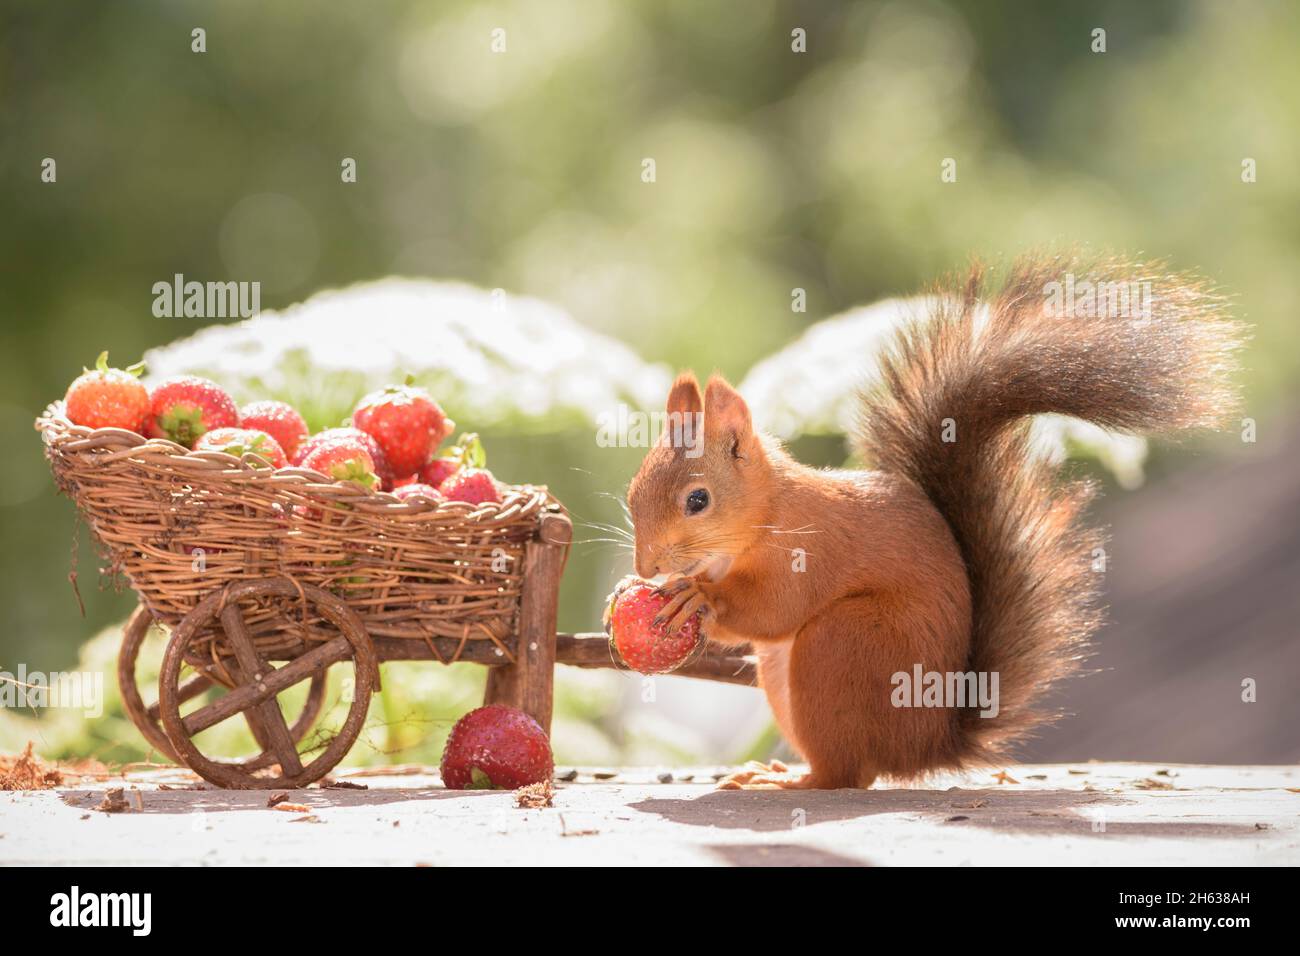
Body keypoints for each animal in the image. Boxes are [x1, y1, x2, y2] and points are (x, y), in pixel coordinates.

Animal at [625, 253, 1245, 789]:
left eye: (697, 500)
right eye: (632, 492)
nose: (646, 566)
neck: (766, 513)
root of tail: (926, 747)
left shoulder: (811, 549)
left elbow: (774, 608)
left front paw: (701, 598)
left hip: (844, 645)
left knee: (847, 774)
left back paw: (792, 781)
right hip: (785, 674)